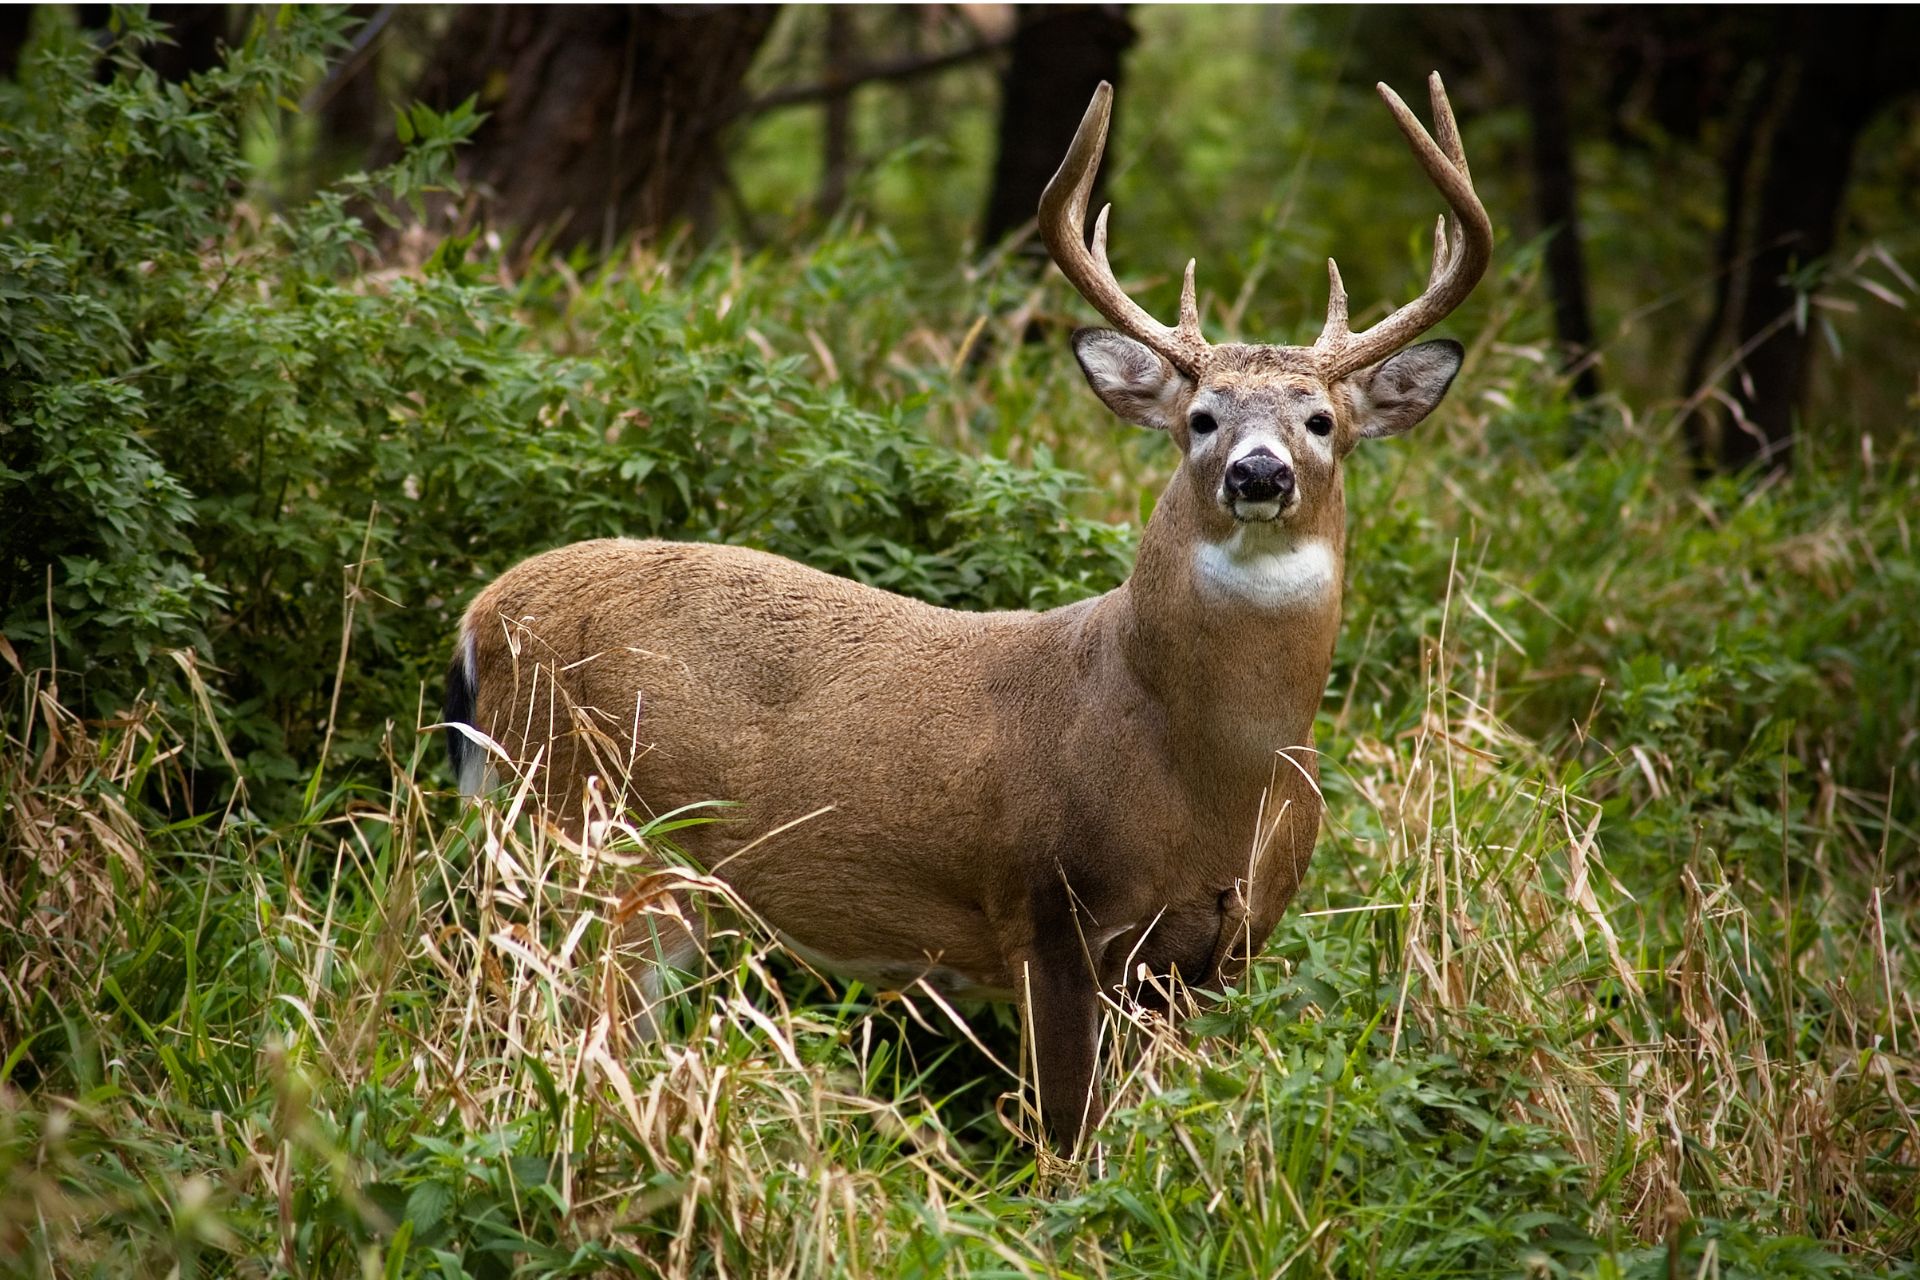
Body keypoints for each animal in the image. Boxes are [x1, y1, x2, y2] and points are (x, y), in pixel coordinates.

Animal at [443, 73, 1490, 1153]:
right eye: (1201, 417)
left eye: (1321, 420)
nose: (1258, 472)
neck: (1210, 768)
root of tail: (481, 618)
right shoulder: (1047, 905)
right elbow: (1068, 1134)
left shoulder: (1222, 948)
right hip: (581, 826)